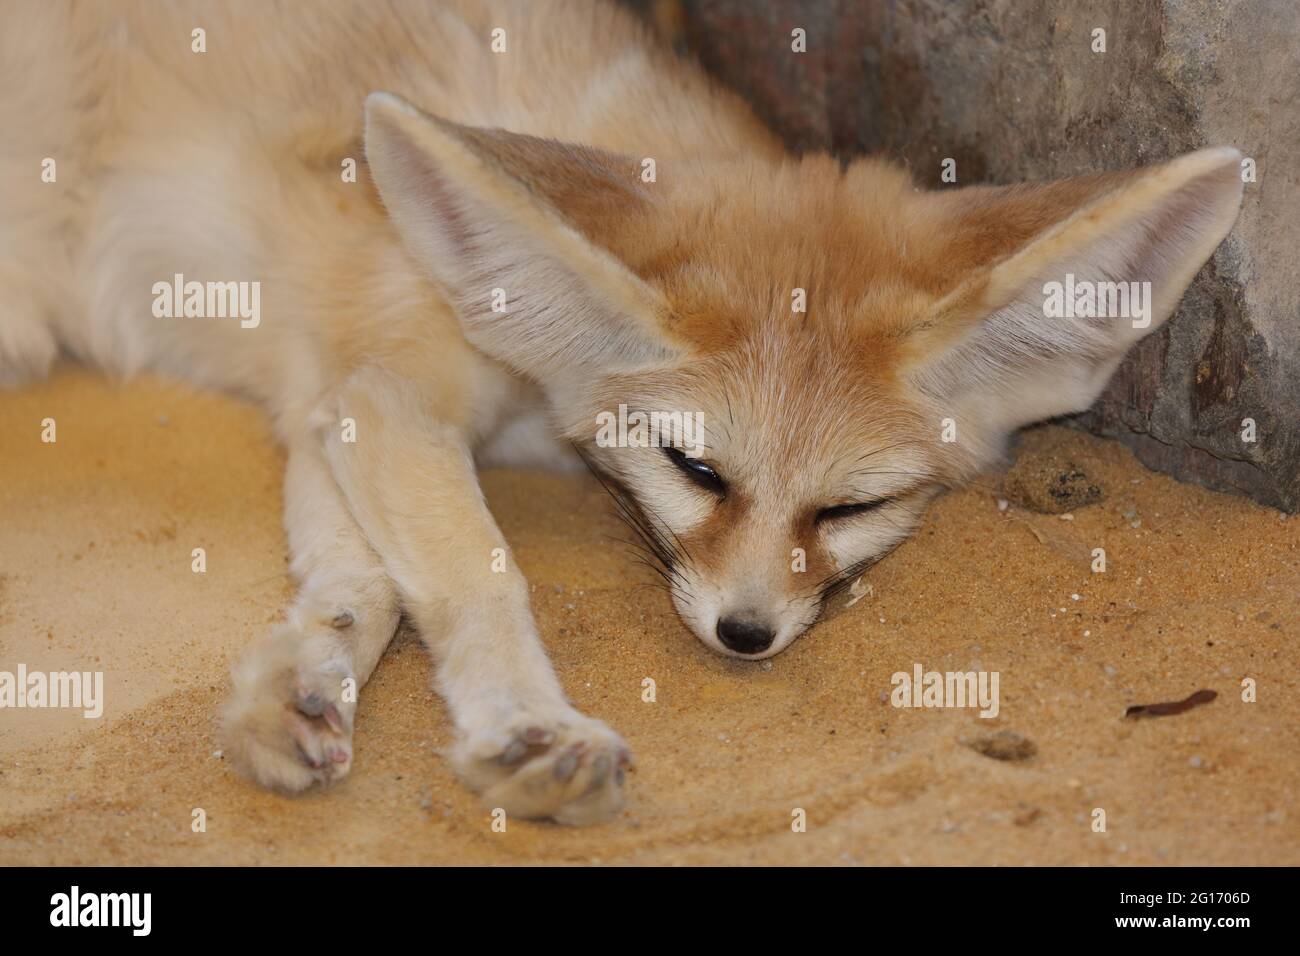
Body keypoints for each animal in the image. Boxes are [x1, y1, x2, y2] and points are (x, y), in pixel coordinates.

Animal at [0, 0, 1243, 825]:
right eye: (695, 469)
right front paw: (522, 722)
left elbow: (361, 580)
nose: (745, 633)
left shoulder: (333, 395)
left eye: (850, 508)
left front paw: (296, 687)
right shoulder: (387, 386)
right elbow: (475, 565)